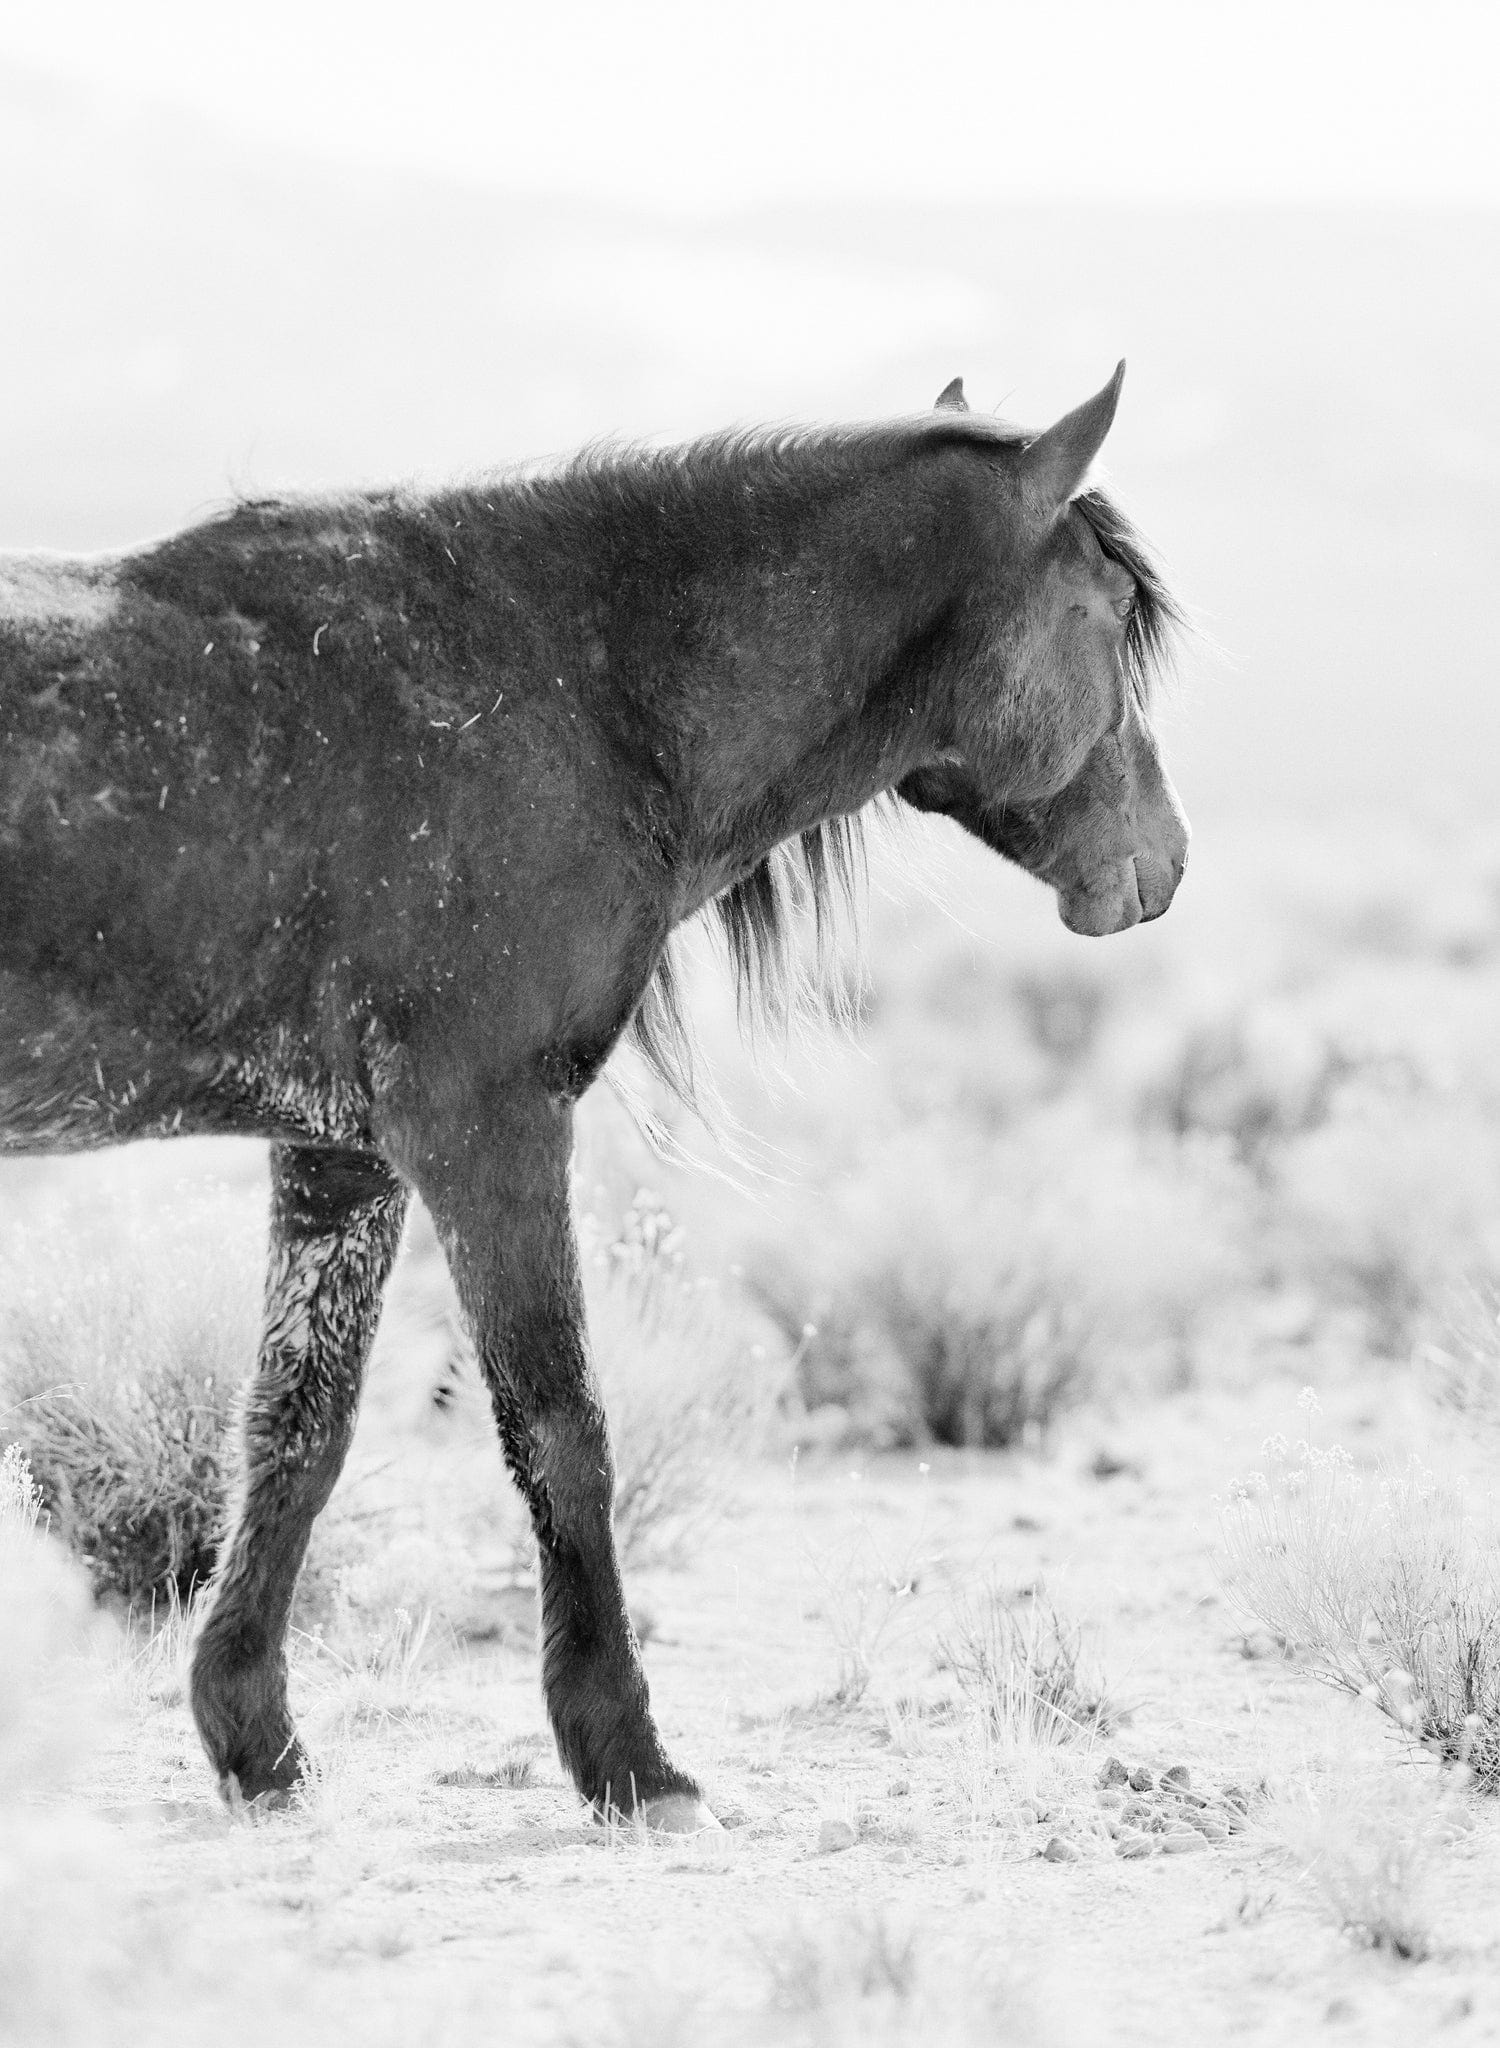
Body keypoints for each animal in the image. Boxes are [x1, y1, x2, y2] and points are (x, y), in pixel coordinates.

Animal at [0, 364, 1188, 1831]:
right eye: (1112, 616)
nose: (1164, 860)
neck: (577, 688)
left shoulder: (341, 1153)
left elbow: (296, 1429)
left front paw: (254, 1738)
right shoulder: (487, 1128)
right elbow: (560, 1433)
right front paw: (627, 1754)